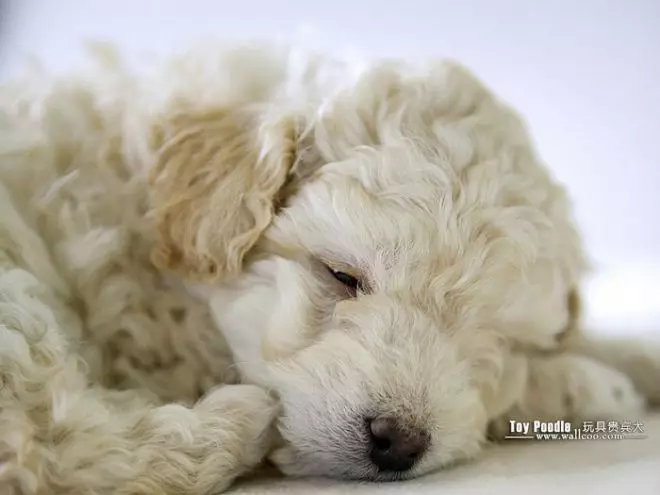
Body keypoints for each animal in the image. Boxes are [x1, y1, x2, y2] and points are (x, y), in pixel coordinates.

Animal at [1, 43, 660, 495]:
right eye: (340, 275)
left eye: (491, 339)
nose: (398, 443)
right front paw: (592, 384)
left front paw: (627, 361)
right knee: (49, 442)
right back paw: (240, 423)